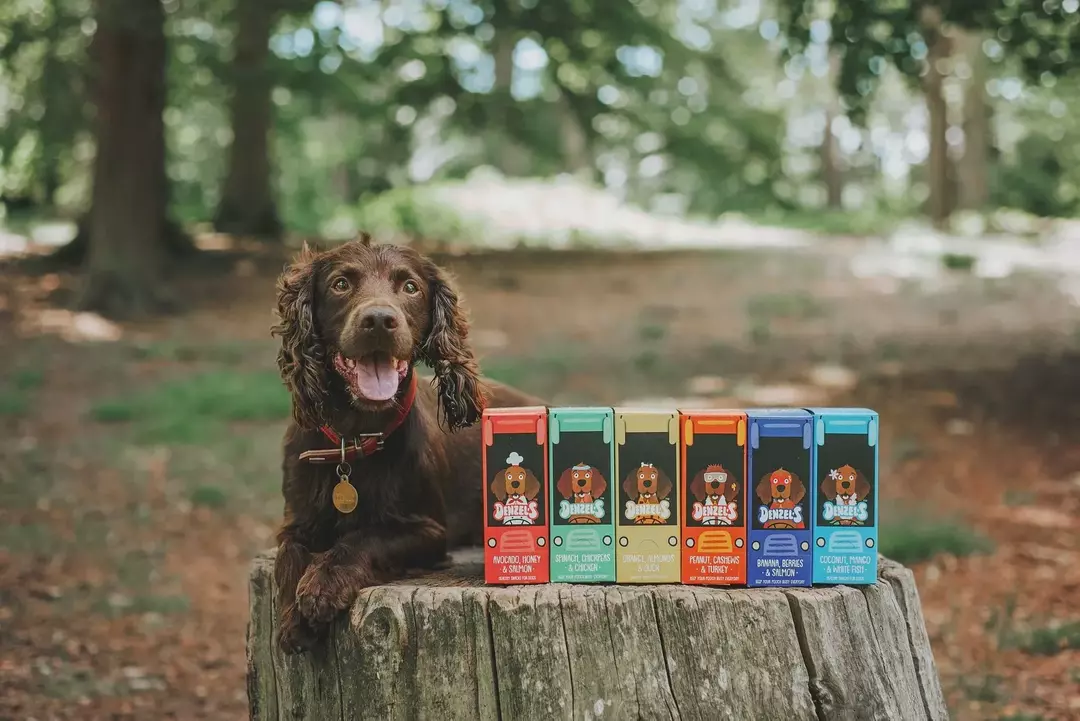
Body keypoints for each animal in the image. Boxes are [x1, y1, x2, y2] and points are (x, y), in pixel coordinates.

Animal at [270, 236, 540, 651]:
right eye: (340, 284)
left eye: (410, 287)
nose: (380, 320)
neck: (354, 437)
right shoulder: (295, 520)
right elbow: (288, 554)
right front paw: (293, 619)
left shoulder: (429, 531)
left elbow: (367, 537)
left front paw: (322, 585)